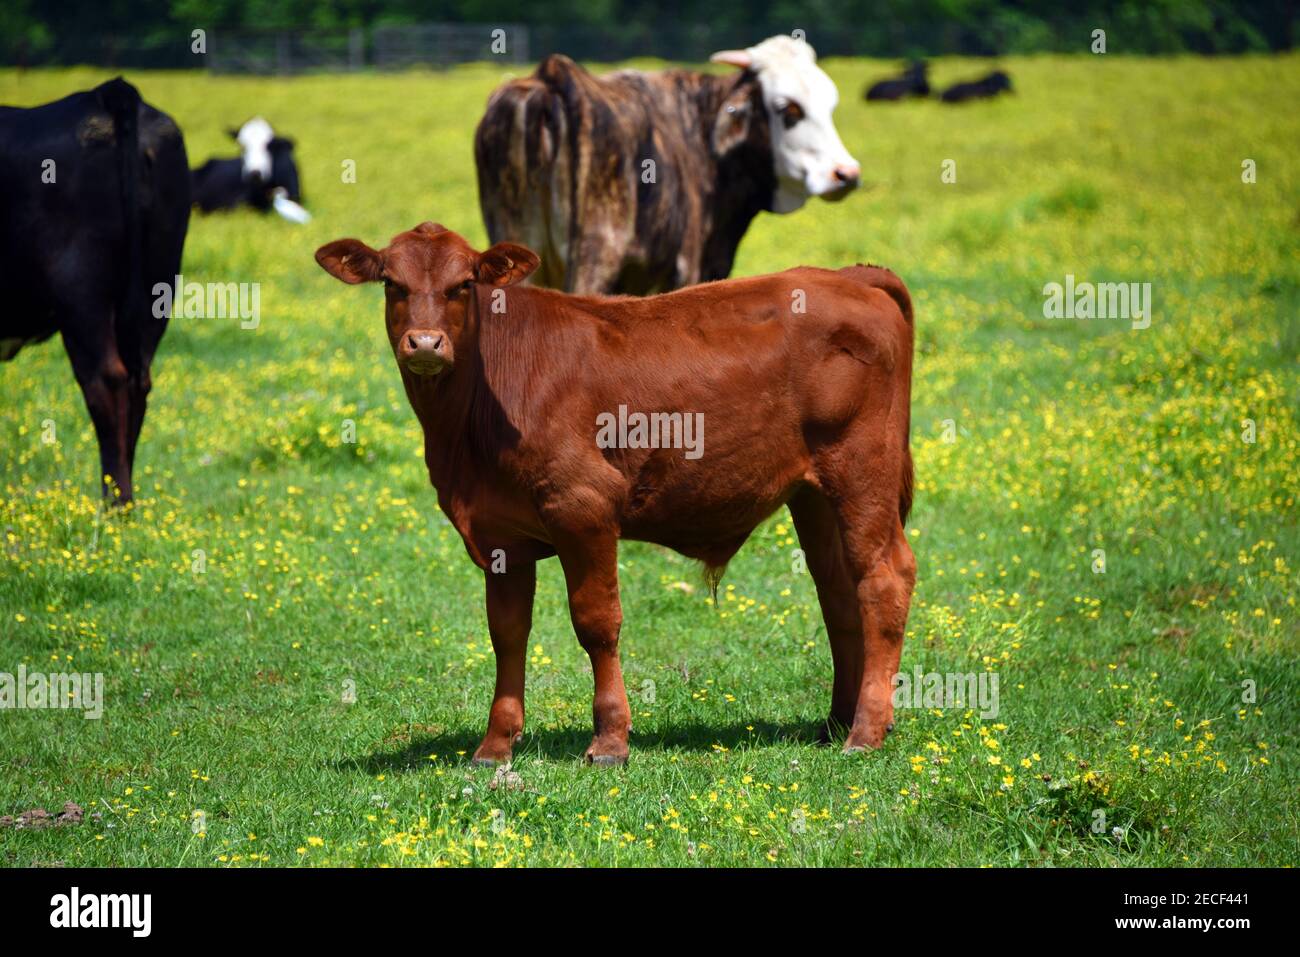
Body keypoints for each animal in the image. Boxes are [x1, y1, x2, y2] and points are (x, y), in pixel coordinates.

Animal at [0, 77, 190, 504]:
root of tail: (108, 95)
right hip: (155, 292)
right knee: (138, 383)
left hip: (82, 293)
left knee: (106, 381)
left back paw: (112, 504)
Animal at [314, 222, 916, 766]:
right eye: (392, 283)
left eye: (463, 284)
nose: (424, 343)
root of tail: (847, 275)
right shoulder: (500, 534)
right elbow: (507, 633)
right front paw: (495, 746)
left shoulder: (584, 507)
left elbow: (597, 623)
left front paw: (609, 741)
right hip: (813, 495)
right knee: (838, 591)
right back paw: (836, 722)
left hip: (863, 469)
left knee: (884, 580)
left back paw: (865, 732)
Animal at [474, 35, 861, 296]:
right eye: (788, 109)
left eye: (830, 104)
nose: (846, 173)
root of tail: (550, 80)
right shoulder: (688, 267)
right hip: (593, 260)